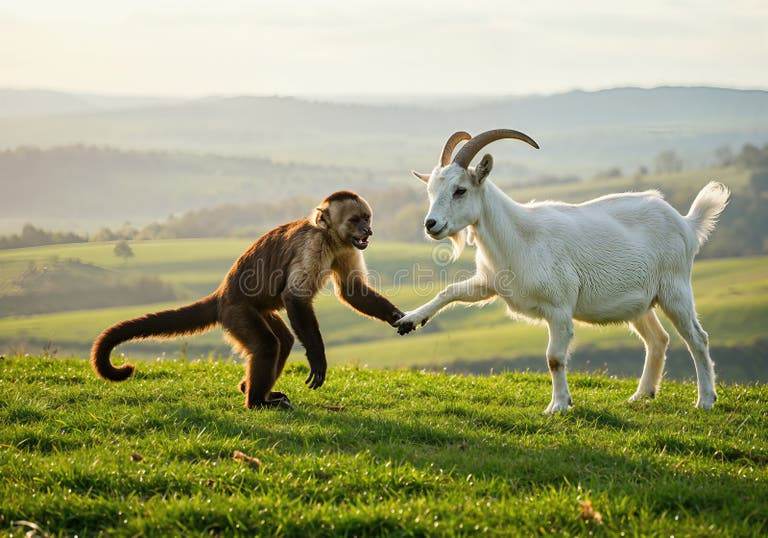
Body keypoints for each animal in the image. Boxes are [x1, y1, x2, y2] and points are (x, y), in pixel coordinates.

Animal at [91, 191, 405, 409]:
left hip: (255, 310)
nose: (368, 231)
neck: (328, 236)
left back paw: (254, 391)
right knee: (267, 345)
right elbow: (294, 297)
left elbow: (351, 290)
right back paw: (256, 402)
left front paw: (397, 317)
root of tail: (222, 294)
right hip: (237, 311)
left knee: (282, 341)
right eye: (354, 220)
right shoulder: (313, 245)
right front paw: (318, 357)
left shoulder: (347, 247)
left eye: (367, 218)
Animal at [396, 129, 730, 413]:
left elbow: (554, 358)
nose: (431, 225)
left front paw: (558, 406)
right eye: (431, 190)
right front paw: (409, 320)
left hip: (674, 289)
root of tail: (686, 223)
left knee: (697, 338)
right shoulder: (490, 283)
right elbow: (449, 291)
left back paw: (705, 400)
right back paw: (641, 395)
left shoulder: (558, 308)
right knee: (658, 339)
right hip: (639, 302)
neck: (520, 236)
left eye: (460, 190)